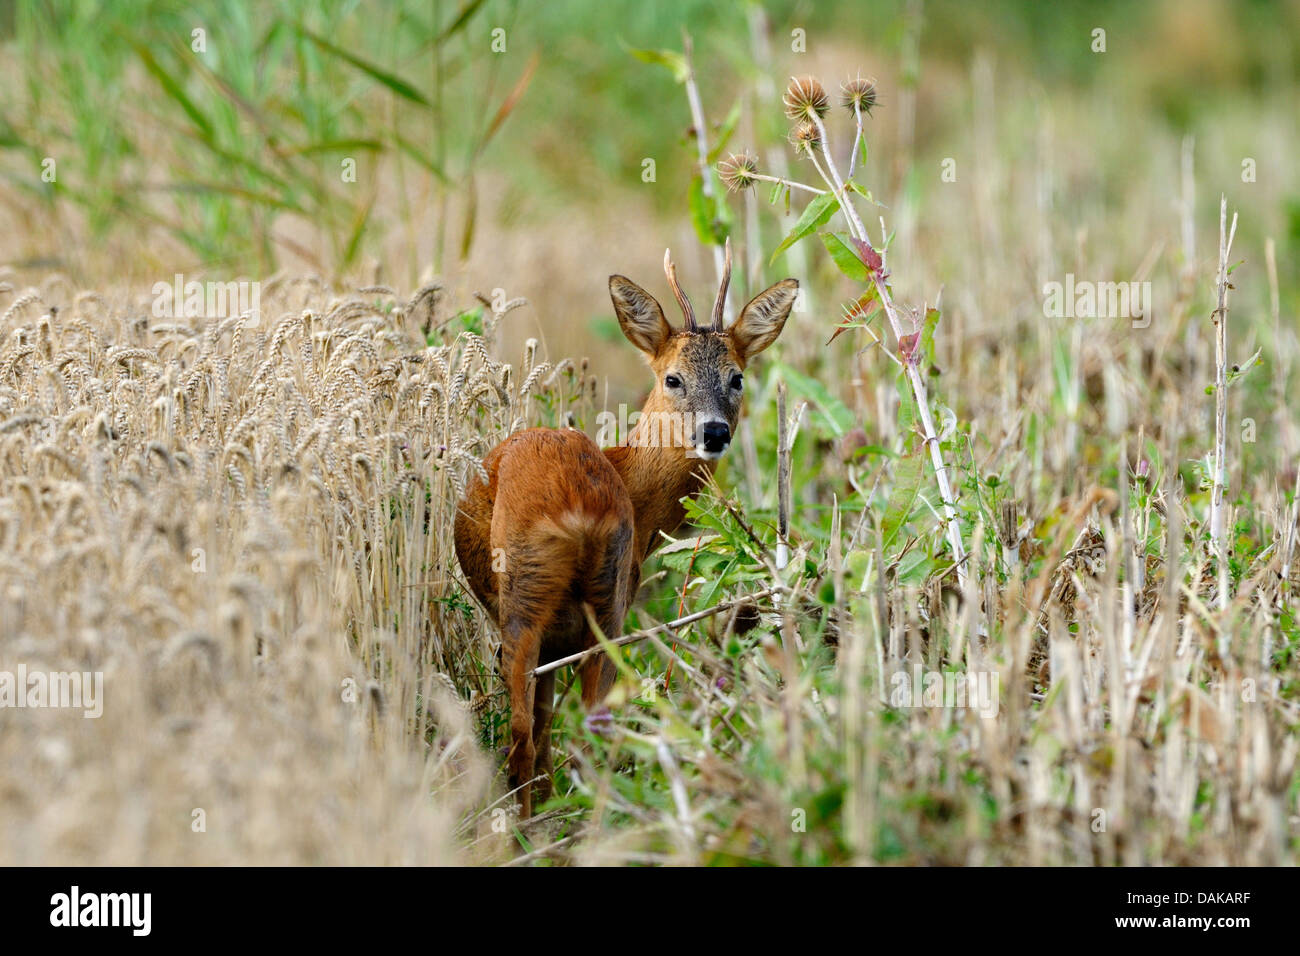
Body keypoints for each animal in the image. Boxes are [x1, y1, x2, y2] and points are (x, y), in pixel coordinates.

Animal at [454, 241, 797, 817]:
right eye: (673, 378)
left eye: (736, 377)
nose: (715, 432)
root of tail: (576, 508)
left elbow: (543, 720)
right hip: (593, 599)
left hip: (545, 596)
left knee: (536, 731)